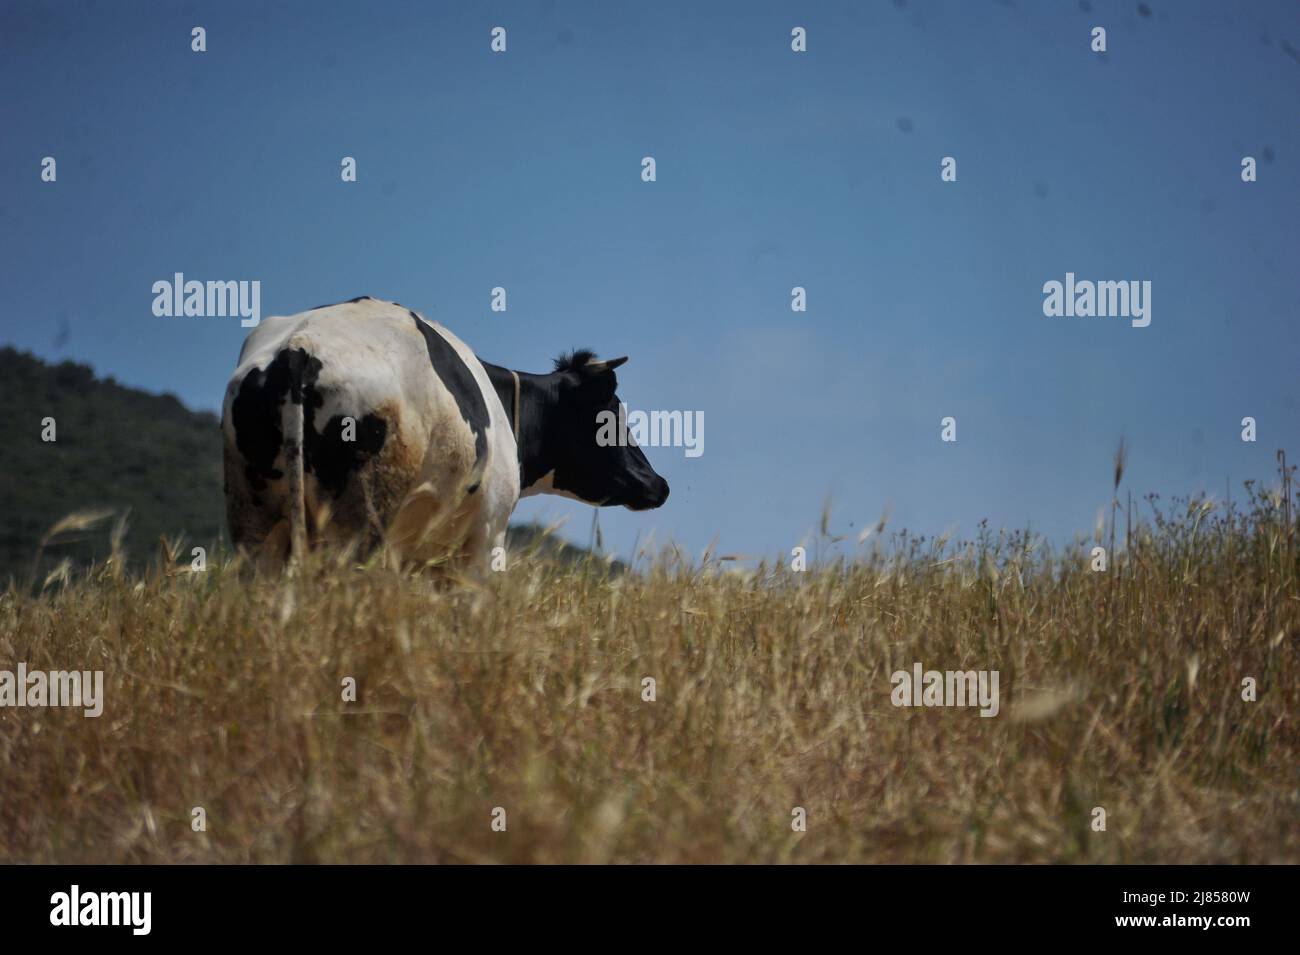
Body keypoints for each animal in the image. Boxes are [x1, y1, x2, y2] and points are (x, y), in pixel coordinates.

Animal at [221, 296, 669, 572]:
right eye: (611, 411)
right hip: (359, 524)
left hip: (253, 523)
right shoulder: (484, 538)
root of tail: (300, 346)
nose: (659, 483)